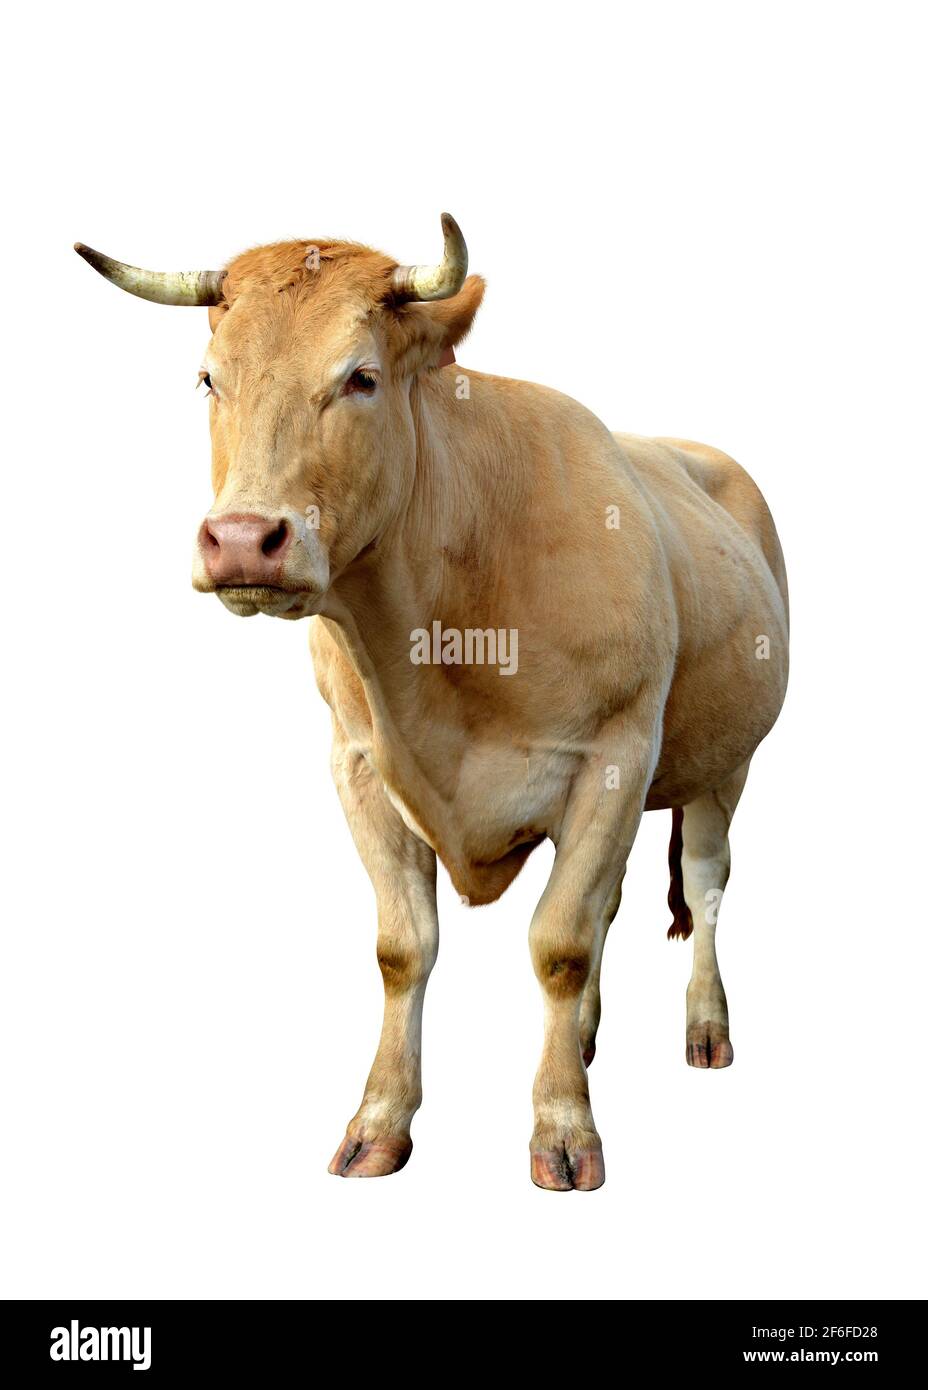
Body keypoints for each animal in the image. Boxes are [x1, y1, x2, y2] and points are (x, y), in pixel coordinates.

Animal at [75, 216, 789, 1190]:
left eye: (360, 377)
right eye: (208, 378)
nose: (242, 540)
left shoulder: (612, 755)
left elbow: (559, 942)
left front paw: (563, 1129)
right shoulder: (358, 762)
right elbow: (404, 947)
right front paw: (380, 1121)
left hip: (727, 760)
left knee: (707, 883)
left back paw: (705, 1026)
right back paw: (588, 1036)